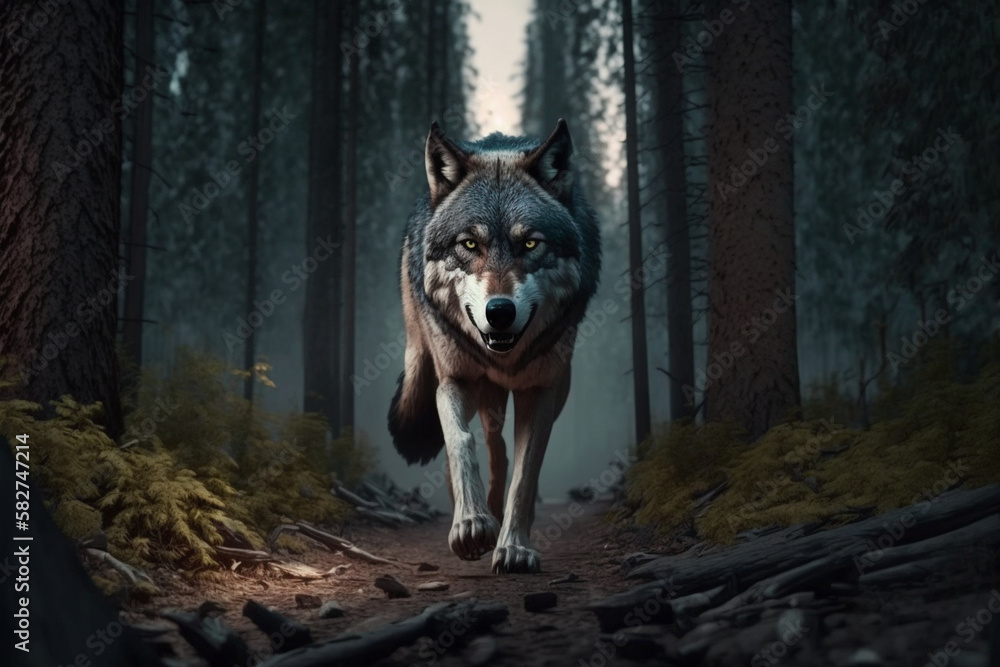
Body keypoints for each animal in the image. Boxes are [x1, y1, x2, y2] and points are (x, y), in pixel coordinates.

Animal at [388, 119, 601, 574]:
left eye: (531, 244)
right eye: (470, 244)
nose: (499, 311)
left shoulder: (540, 391)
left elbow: (526, 471)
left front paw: (515, 545)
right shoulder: (455, 380)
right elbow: (459, 442)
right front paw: (470, 523)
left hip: (552, 387)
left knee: (504, 450)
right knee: (487, 441)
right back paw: (478, 510)